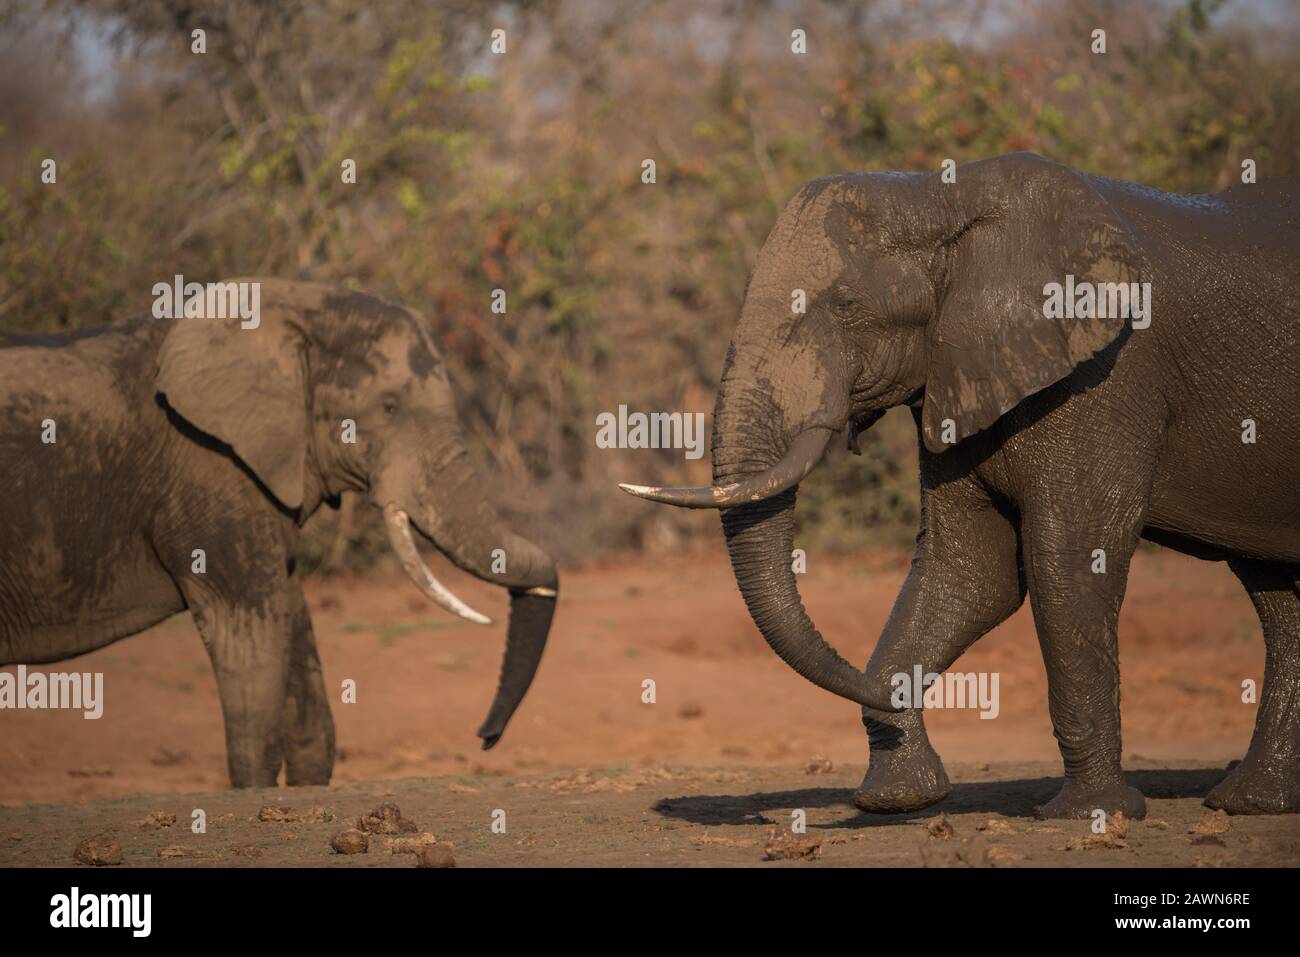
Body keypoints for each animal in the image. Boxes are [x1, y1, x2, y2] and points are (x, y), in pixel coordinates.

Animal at [0, 279, 559, 787]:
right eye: (390, 408)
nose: (485, 737)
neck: (290, 307)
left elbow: (291, 621)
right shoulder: (210, 468)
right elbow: (248, 628)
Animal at [622, 153, 1300, 819]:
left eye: (843, 307)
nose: (881, 686)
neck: (936, 197)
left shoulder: (1109, 379)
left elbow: (1066, 565)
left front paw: (1092, 815)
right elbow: (970, 573)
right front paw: (898, 800)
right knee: (1275, 595)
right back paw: (1252, 803)